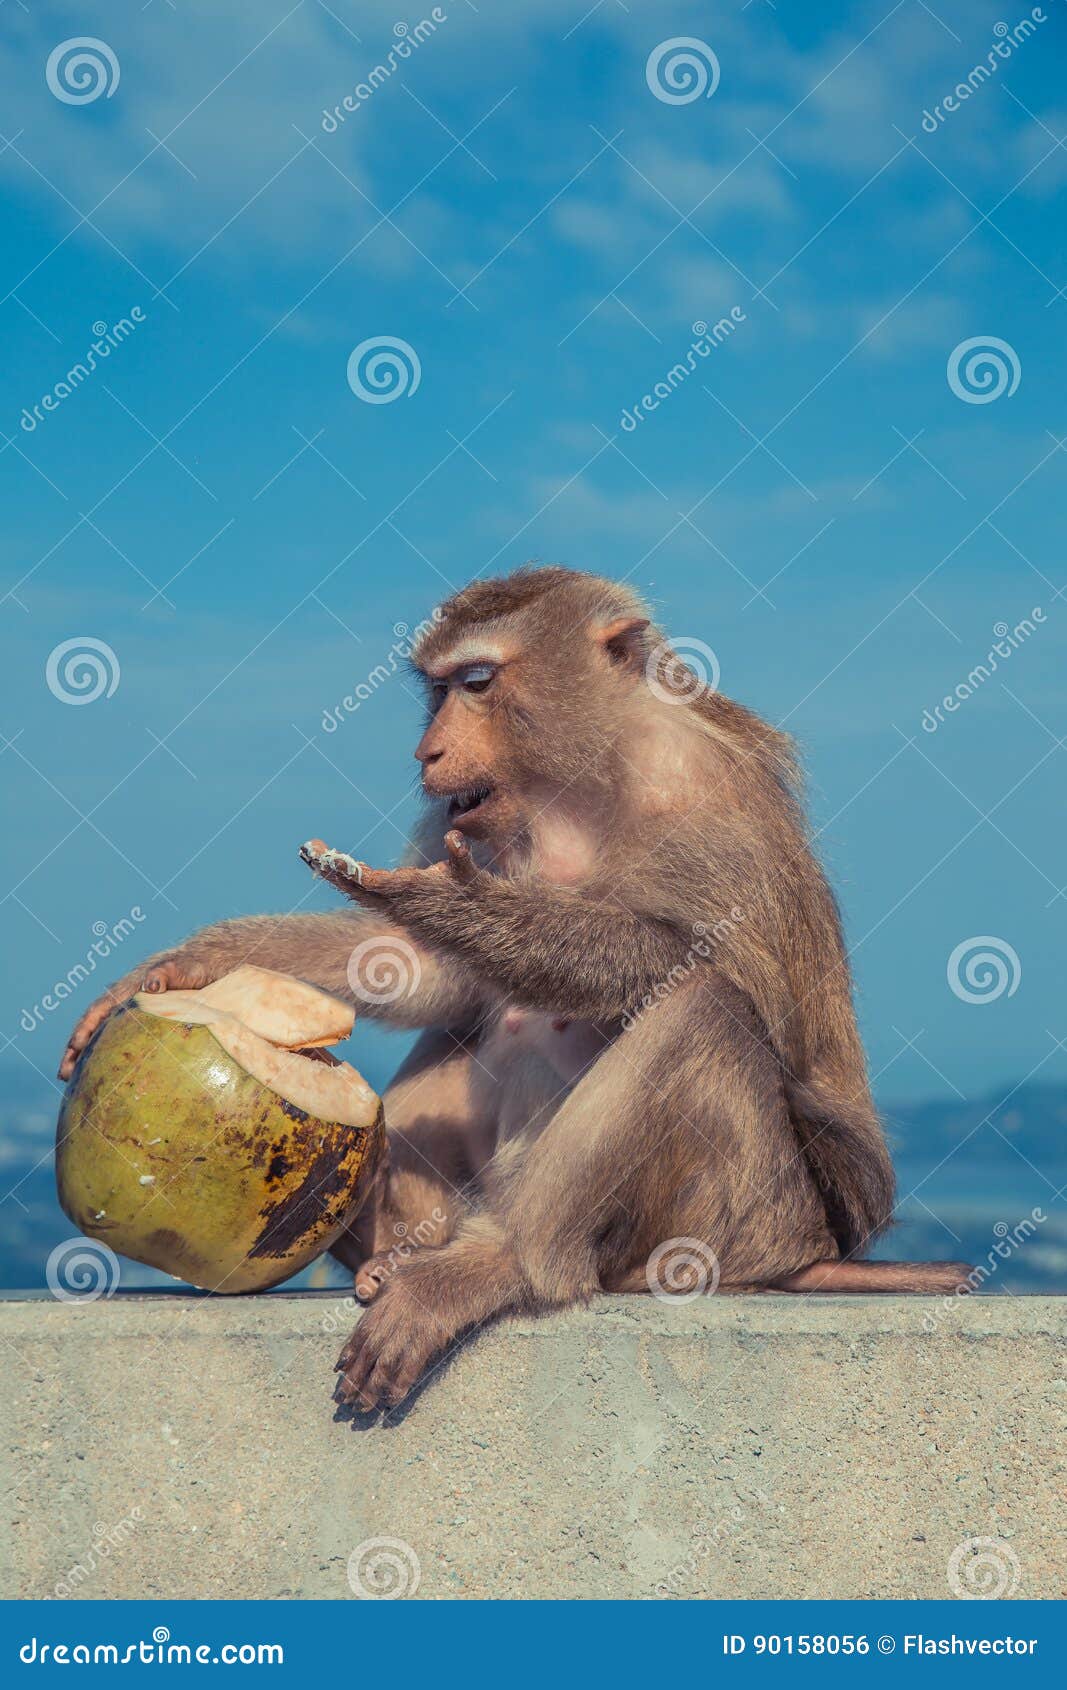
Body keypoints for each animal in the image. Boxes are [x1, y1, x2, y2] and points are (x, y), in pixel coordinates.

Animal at [61, 565, 970, 1410]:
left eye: (476, 683)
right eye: (437, 691)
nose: (427, 752)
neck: (574, 779)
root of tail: (809, 1250)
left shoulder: (690, 779)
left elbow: (682, 958)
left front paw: (445, 901)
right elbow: (426, 974)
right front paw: (199, 963)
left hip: (733, 1224)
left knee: (698, 1011)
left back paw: (500, 1264)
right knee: (467, 1036)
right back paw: (393, 1255)